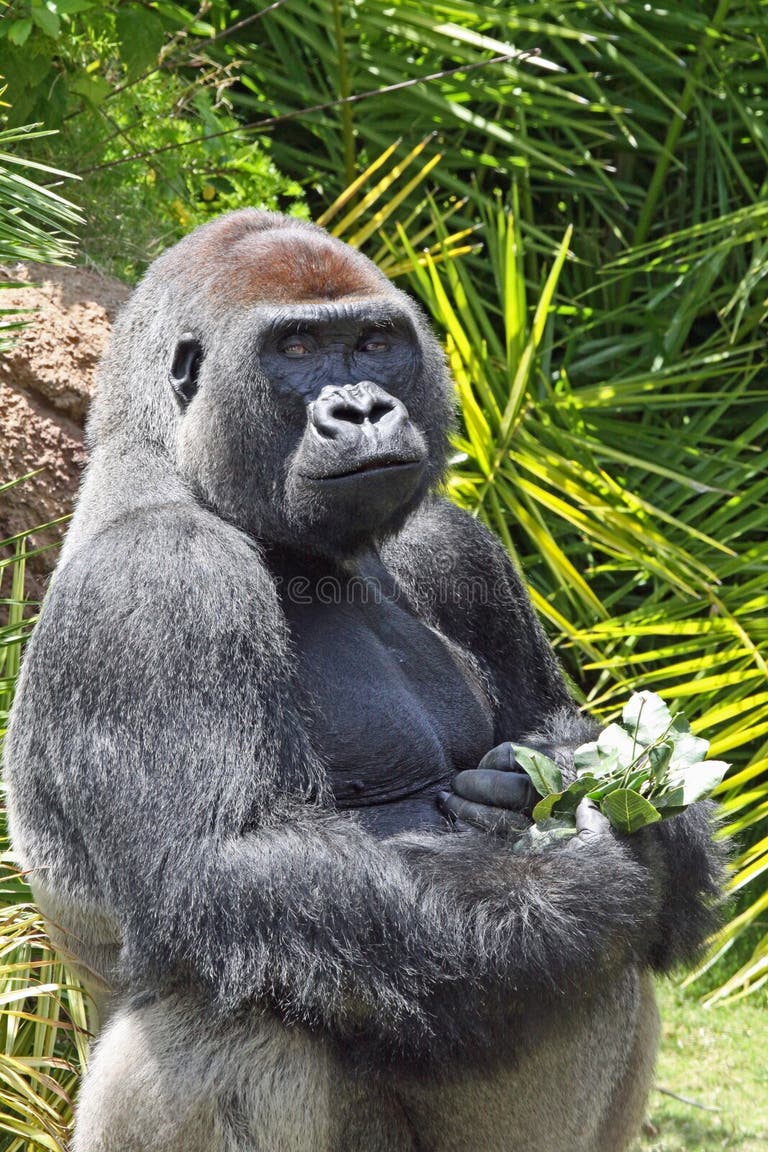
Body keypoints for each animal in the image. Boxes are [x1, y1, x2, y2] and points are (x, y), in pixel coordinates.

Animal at [4, 210, 723, 1152]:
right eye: (298, 347)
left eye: (375, 343)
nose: (364, 409)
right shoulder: (160, 579)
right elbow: (219, 865)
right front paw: (580, 889)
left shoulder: (456, 547)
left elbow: (566, 735)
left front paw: (579, 790)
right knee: (235, 1012)